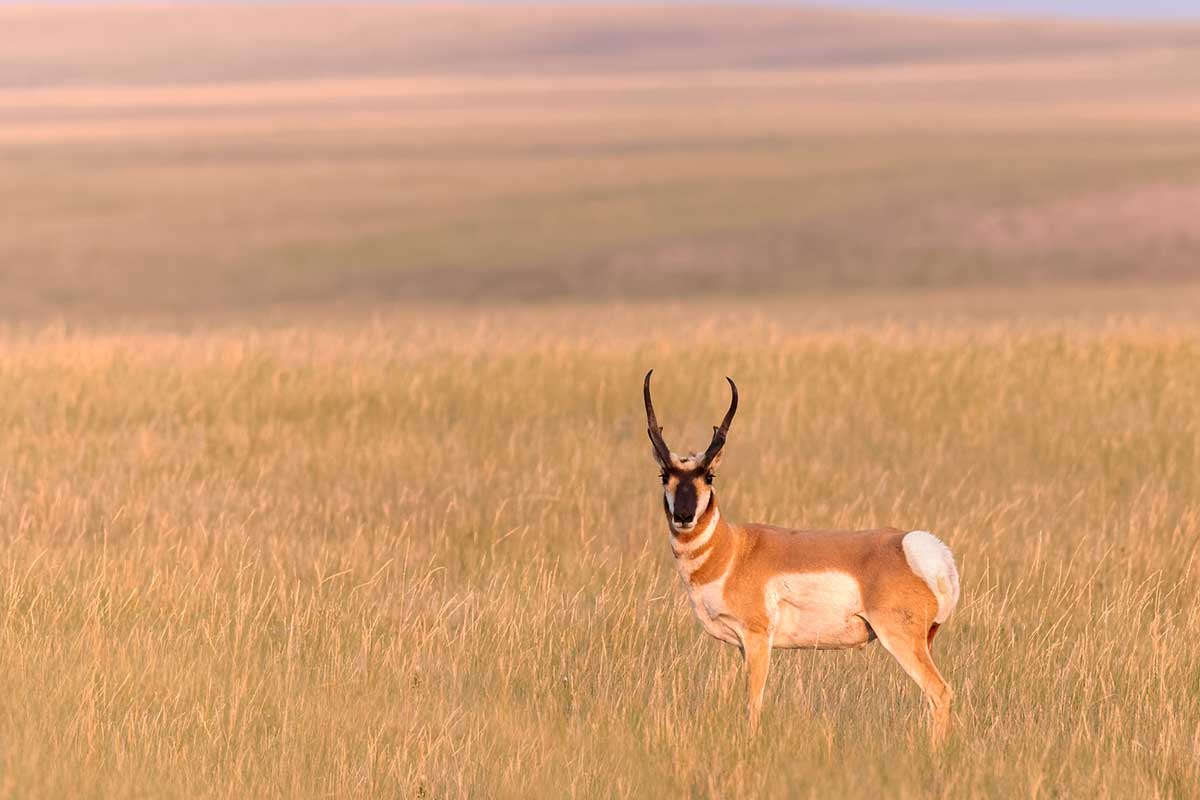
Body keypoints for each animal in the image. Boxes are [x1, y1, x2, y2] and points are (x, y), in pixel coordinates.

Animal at [643, 370, 960, 743]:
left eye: (709, 475)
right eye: (665, 475)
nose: (684, 516)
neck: (732, 551)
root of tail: (915, 547)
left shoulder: (757, 639)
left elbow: (754, 703)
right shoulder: (743, 646)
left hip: (900, 639)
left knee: (939, 691)